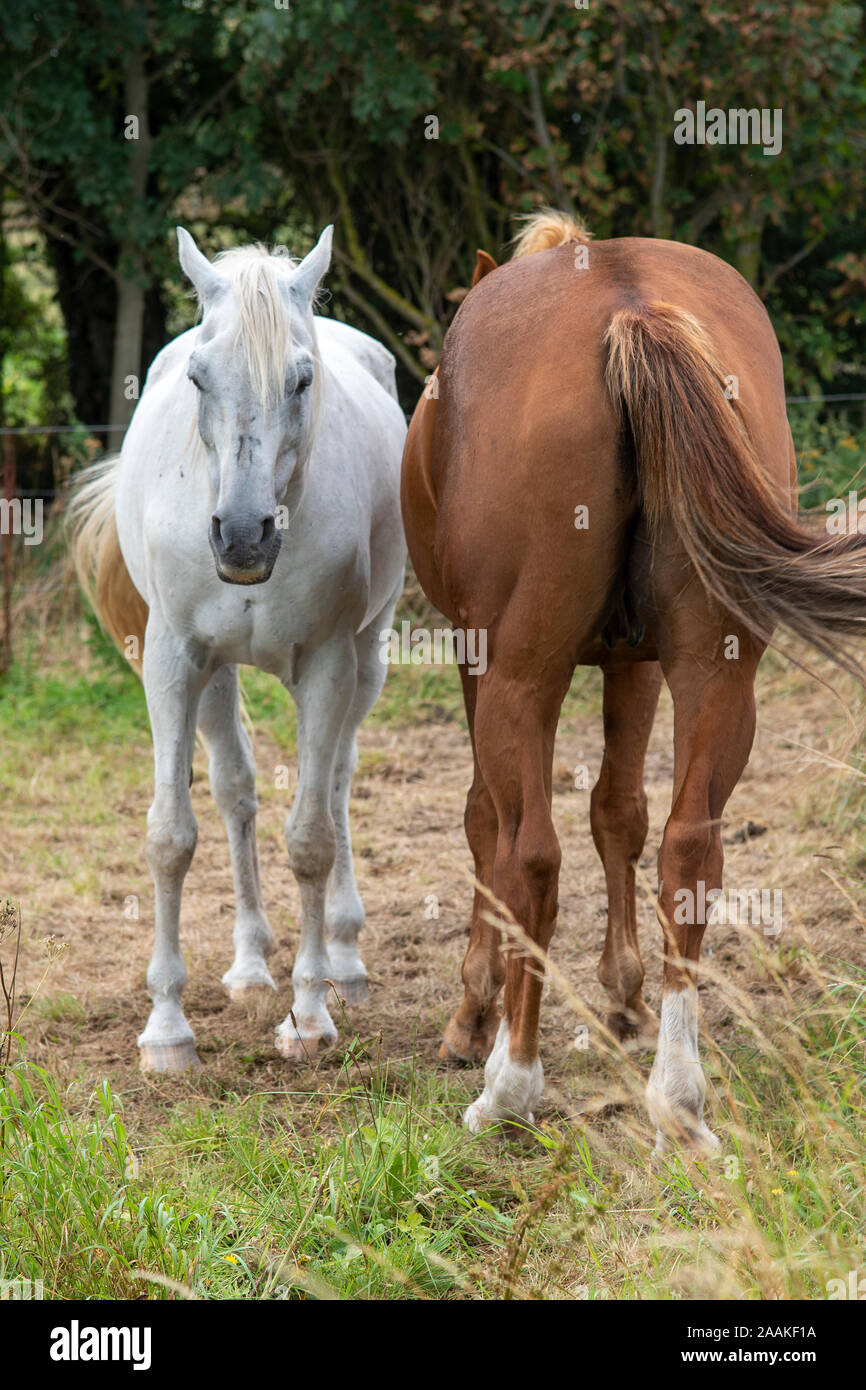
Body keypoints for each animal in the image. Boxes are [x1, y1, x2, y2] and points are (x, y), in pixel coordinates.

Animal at [70, 226, 406, 1071]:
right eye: (198, 375)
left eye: (303, 378)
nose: (243, 536)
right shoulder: (174, 660)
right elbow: (171, 835)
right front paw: (166, 1029)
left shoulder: (328, 664)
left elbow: (312, 839)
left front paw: (310, 1014)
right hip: (217, 678)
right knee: (236, 790)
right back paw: (251, 964)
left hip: (369, 657)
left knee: (337, 783)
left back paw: (343, 960)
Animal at [402, 209, 866, 1155]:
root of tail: (627, 307)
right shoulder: (636, 664)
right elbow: (620, 813)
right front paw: (624, 996)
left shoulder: (478, 663)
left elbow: (483, 824)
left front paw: (473, 1010)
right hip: (716, 674)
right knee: (689, 850)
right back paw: (678, 1099)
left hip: (519, 678)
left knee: (531, 856)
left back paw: (511, 1083)